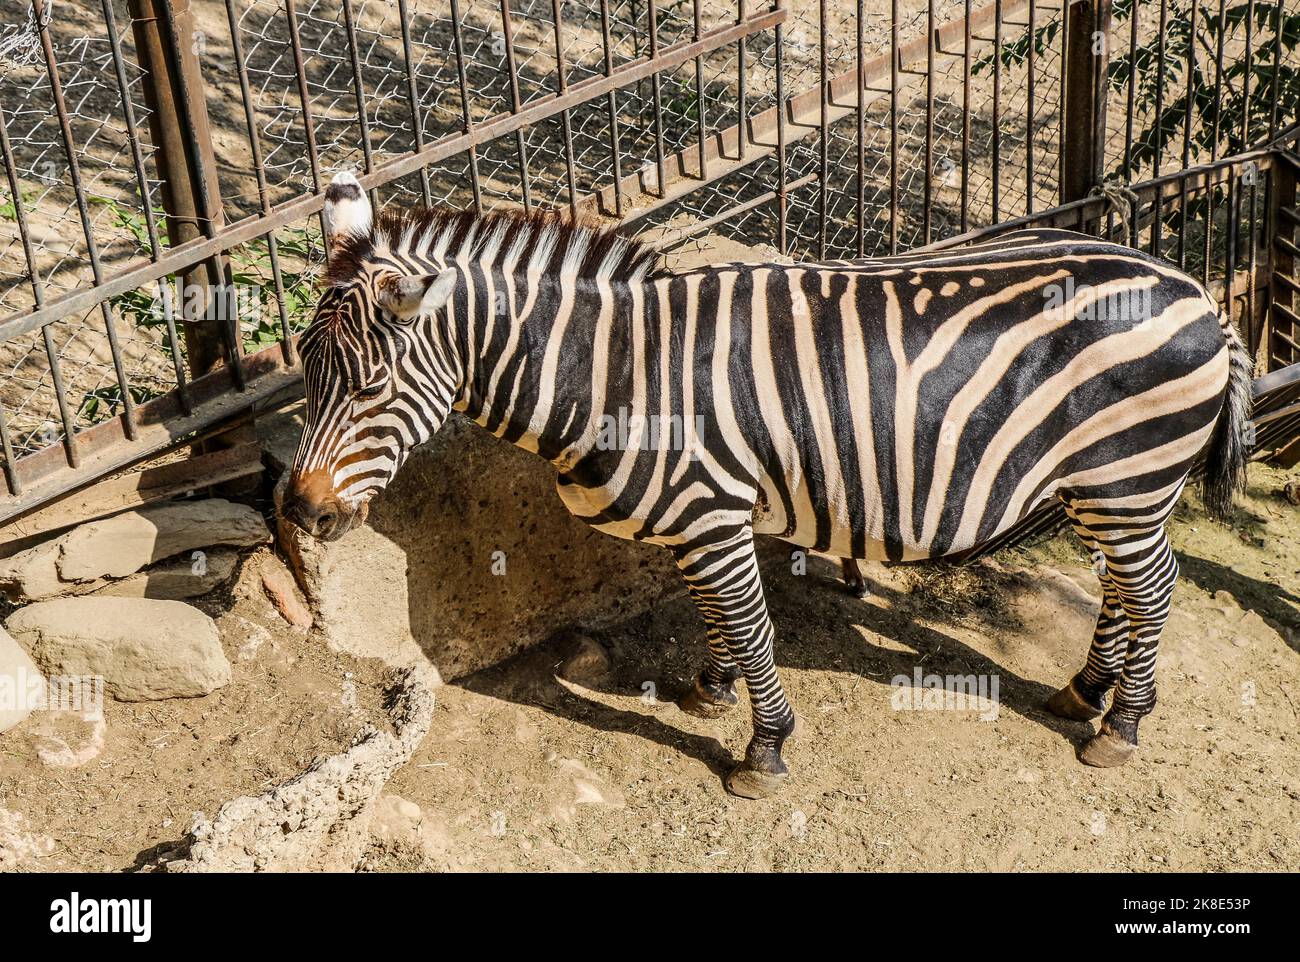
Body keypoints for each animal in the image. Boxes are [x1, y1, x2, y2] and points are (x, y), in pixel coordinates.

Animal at [282, 171, 1252, 799]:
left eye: (368, 386)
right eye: (305, 369)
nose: (298, 511)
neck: (619, 374)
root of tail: (1199, 292)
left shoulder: (712, 512)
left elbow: (748, 625)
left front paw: (765, 750)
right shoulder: (703, 520)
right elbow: (717, 616)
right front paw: (710, 690)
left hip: (1127, 477)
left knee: (1154, 589)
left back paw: (1121, 727)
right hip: (1107, 487)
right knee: (1123, 589)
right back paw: (1086, 691)